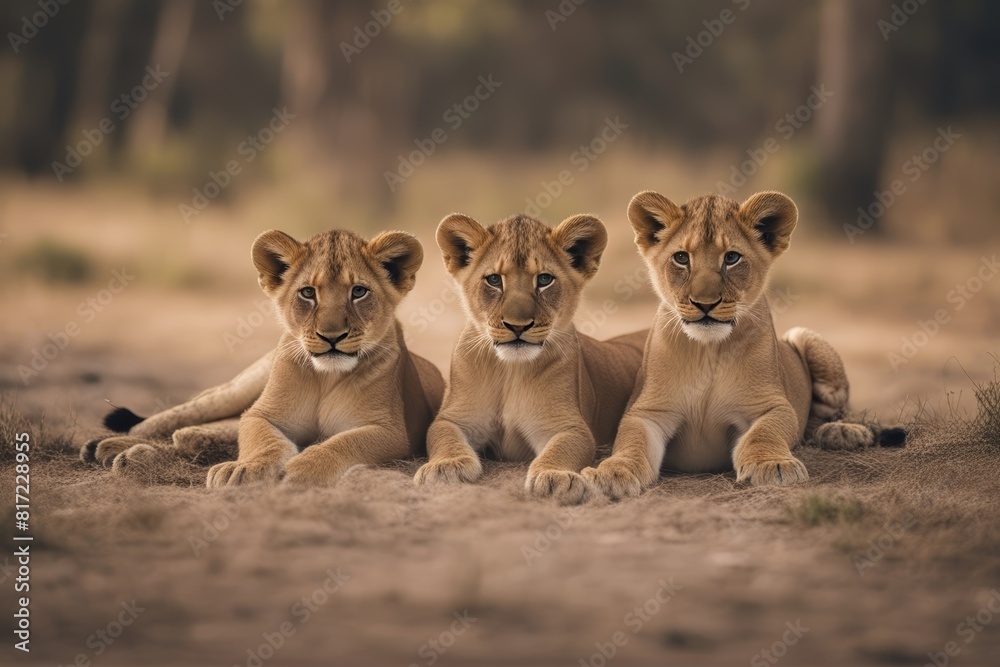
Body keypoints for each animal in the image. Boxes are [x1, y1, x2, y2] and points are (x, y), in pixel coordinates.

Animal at [81, 228, 444, 486]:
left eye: (359, 292)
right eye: (308, 293)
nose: (332, 337)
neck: (326, 377)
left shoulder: (389, 430)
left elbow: (341, 444)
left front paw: (303, 467)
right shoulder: (262, 414)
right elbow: (263, 440)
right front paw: (245, 470)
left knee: (197, 435)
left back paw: (124, 454)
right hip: (232, 392)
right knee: (169, 422)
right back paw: (105, 446)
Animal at [413, 212, 647, 504]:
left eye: (545, 279)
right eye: (494, 280)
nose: (518, 326)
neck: (510, 370)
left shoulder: (568, 425)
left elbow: (562, 448)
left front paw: (554, 477)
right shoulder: (454, 418)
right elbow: (442, 437)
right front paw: (444, 467)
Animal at [582, 190, 905, 499]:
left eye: (732, 258)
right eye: (682, 258)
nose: (705, 304)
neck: (708, 352)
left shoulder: (773, 405)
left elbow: (765, 433)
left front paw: (773, 465)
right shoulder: (647, 412)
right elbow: (631, 443)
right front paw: (611, 473)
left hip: (804, 337)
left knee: (831, 412)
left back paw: (843, 432)